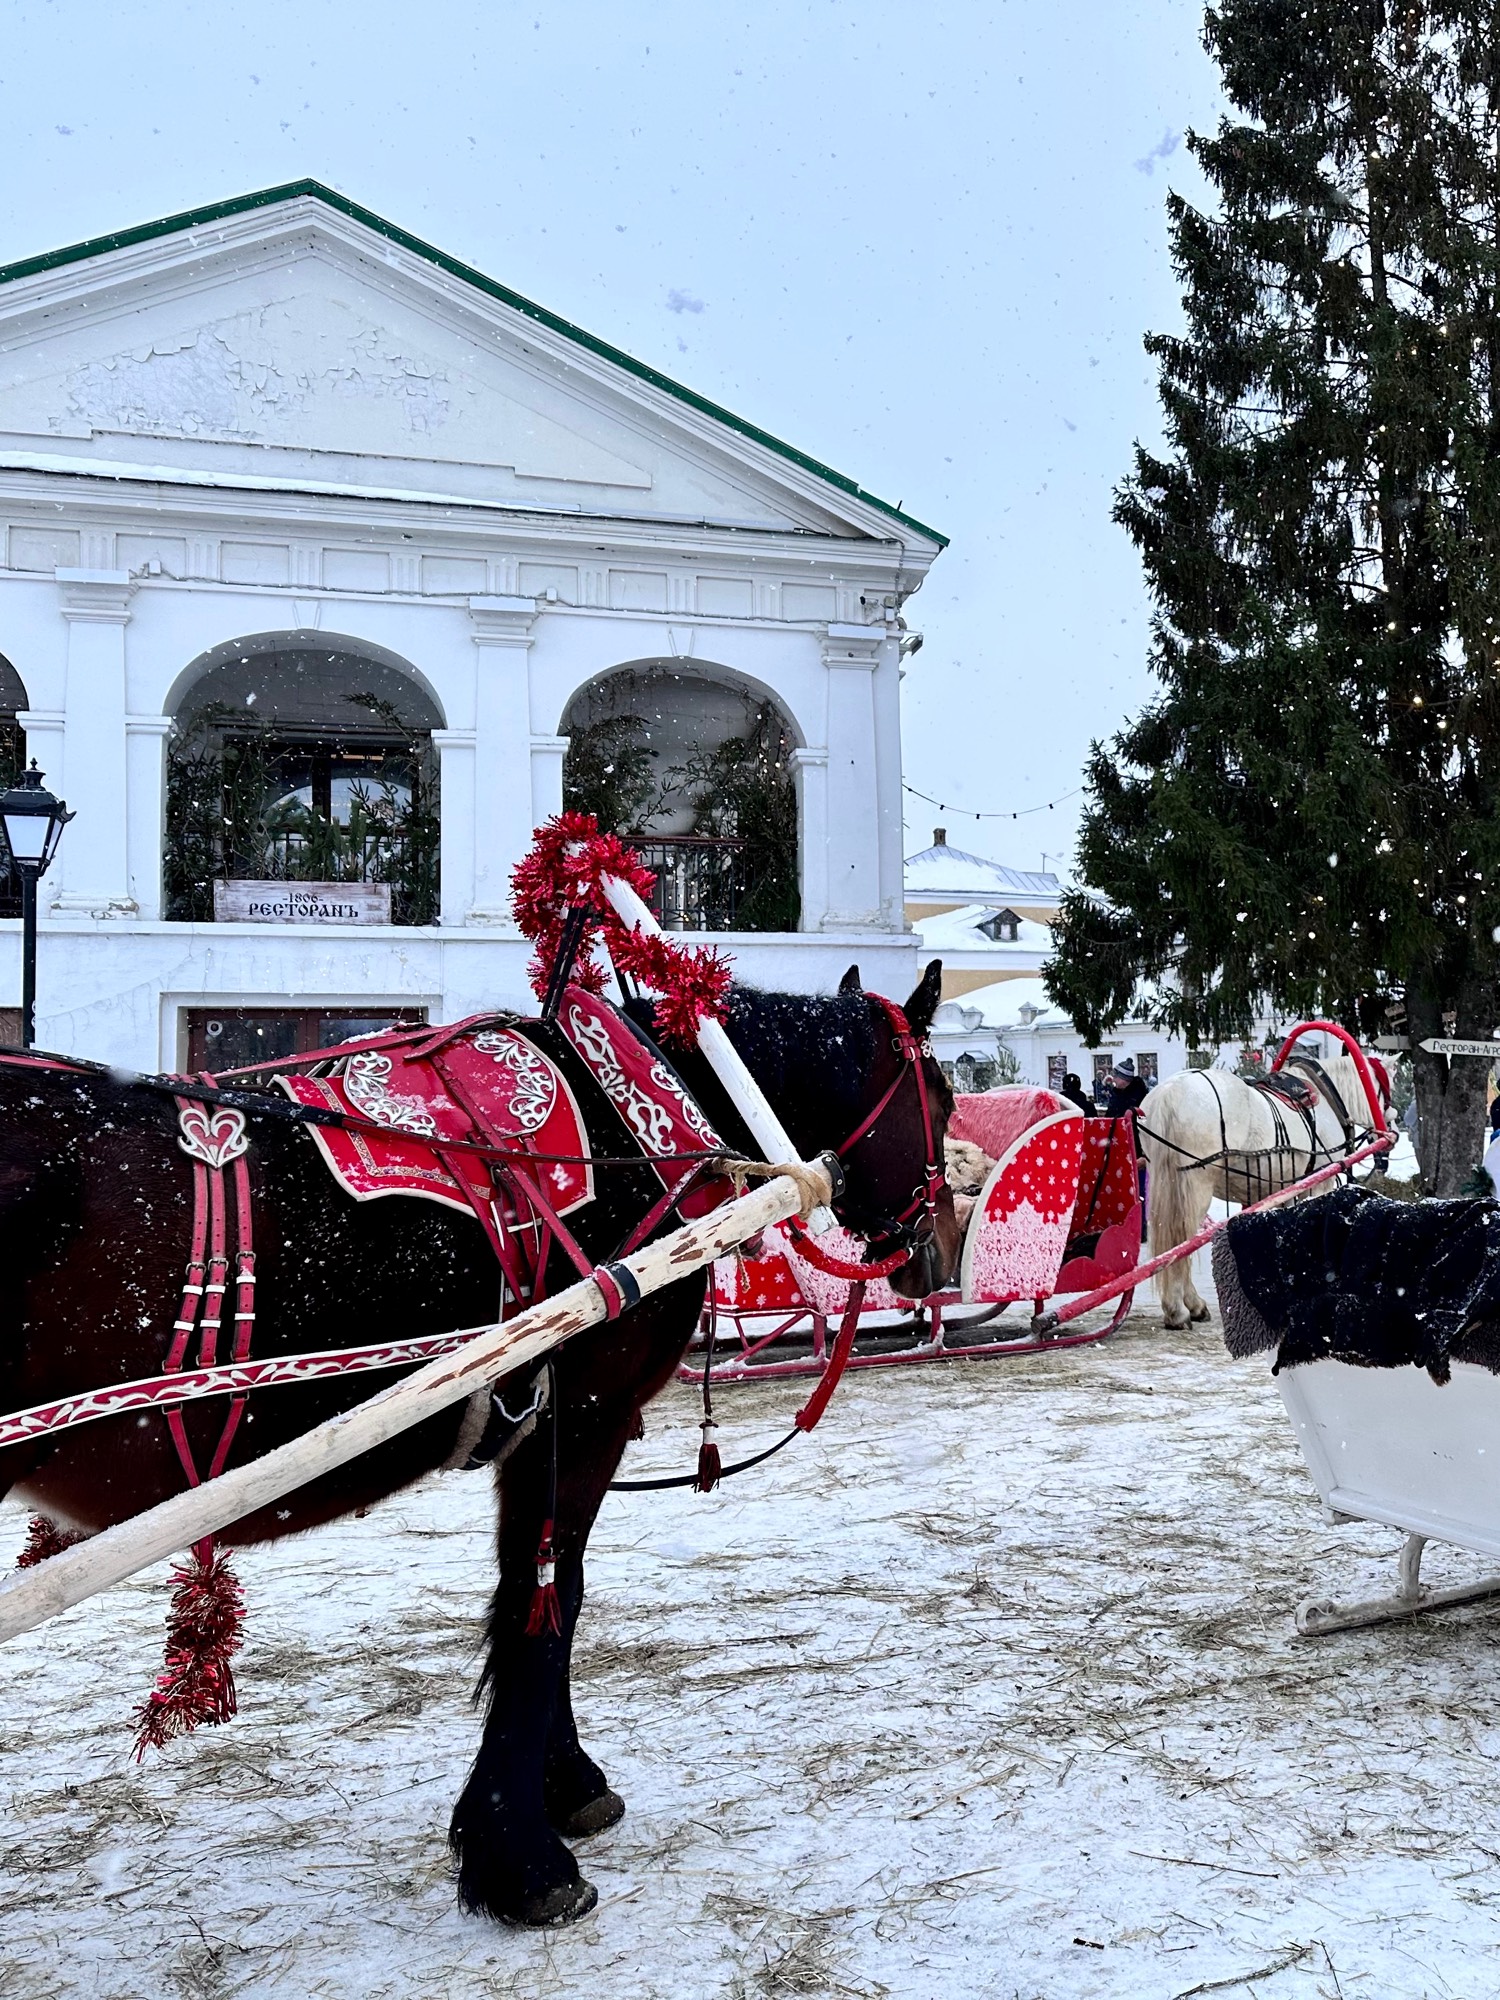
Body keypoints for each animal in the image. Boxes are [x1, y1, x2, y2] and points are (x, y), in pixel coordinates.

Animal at [0, 960, 964, 1928]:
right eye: (946, 1098)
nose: (942, 1252)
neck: (631, 1117)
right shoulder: (581, 1418)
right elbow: (550, 1600)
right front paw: (522, 1854)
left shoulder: (532, 1426)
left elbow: (535, 1597)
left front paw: (562, 1786)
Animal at [1136, 1048, 1384, 1328]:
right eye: (1384, 1088)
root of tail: (1168, 1094)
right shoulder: (1318, 1183)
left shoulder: (1275, 1190)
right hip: (1194, 1185)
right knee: (1182, 1243)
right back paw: (1180, 1310)